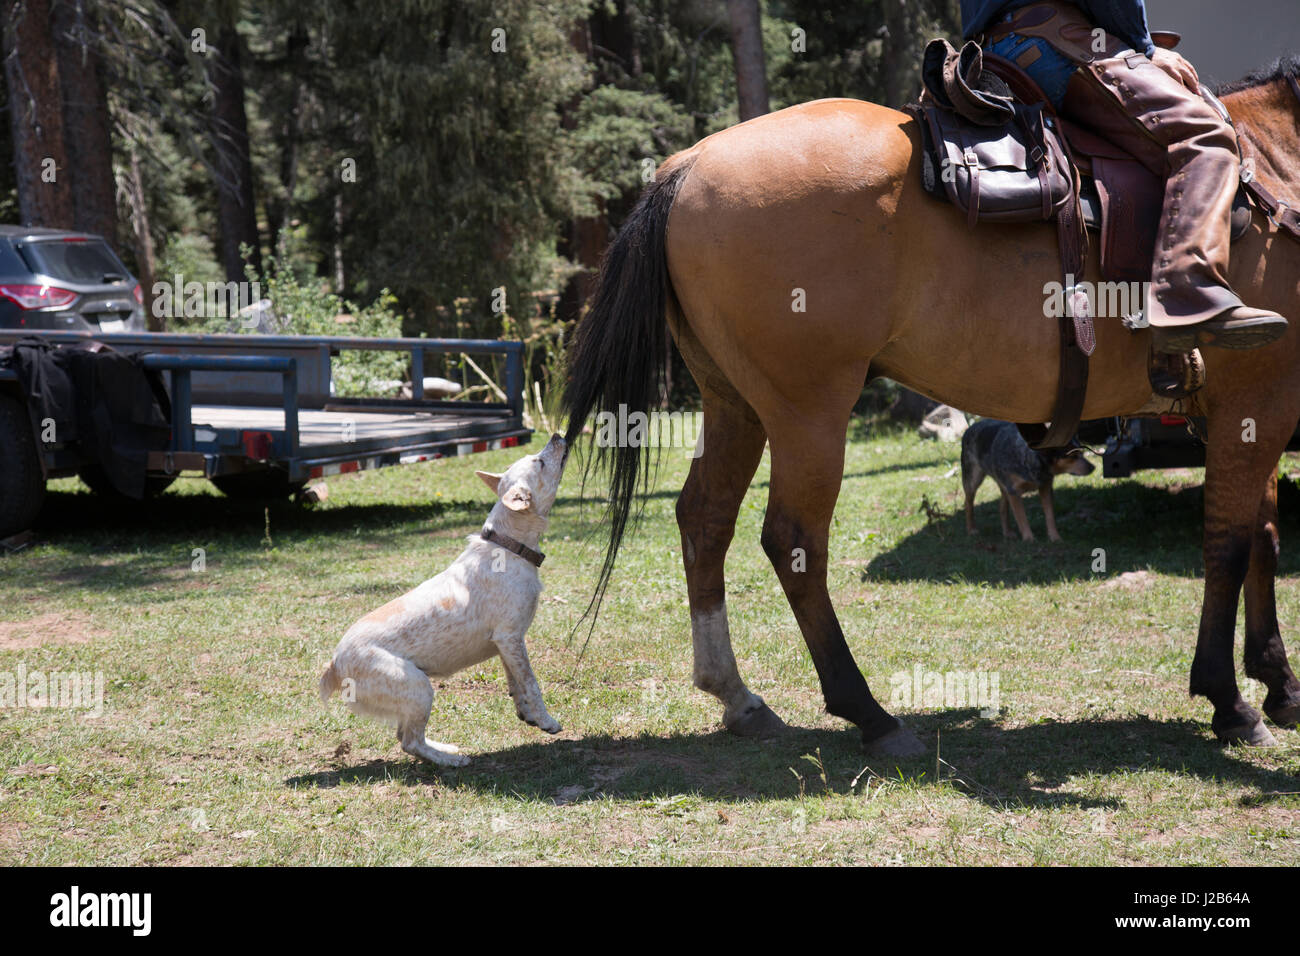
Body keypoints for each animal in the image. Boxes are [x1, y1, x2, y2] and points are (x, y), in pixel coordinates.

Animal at [560, 56, 1300, 756]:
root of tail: (688, 167)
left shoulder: (1254, 412)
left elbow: (1263, 536)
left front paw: (1279, 685)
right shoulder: (1255, 400)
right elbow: (1230, 544)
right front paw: (1230, 701)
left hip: (733, 404)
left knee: (704, 520)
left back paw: (739, 698)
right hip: (809, 414)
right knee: (793, 541)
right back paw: (869, 714)